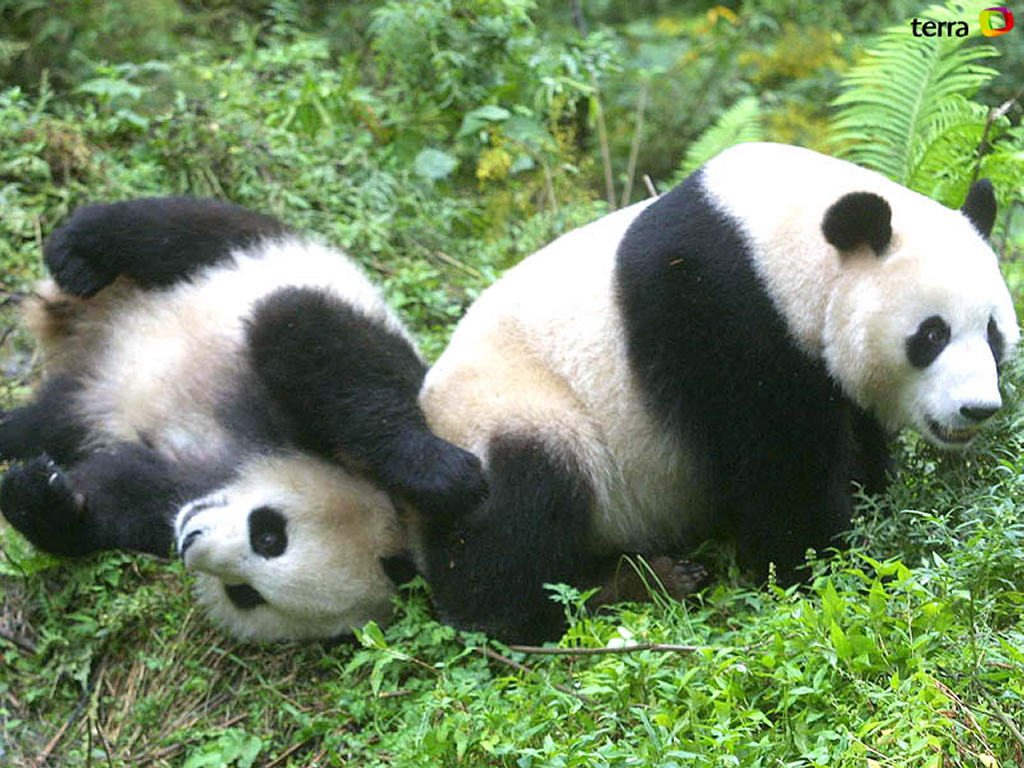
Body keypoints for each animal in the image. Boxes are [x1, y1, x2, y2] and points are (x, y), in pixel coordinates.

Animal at [0, 197, 484, 642]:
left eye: (246, 593)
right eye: (270, 536)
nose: (189, 541)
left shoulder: (179, 490)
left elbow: (115, 497)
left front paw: (43, 496)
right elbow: (305, 333)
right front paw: (447, 475)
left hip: (77, 403)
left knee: (43, 422)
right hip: (237, 256)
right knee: (178, 230)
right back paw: (80, 253)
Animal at [390, 141, 1016, 642]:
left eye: (991, 331)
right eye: (931, 334)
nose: (977, 408)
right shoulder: (720, 313)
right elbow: (780, 466)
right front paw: (828, 564)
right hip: (509, 413)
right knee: (517, 512)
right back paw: (610, 591)